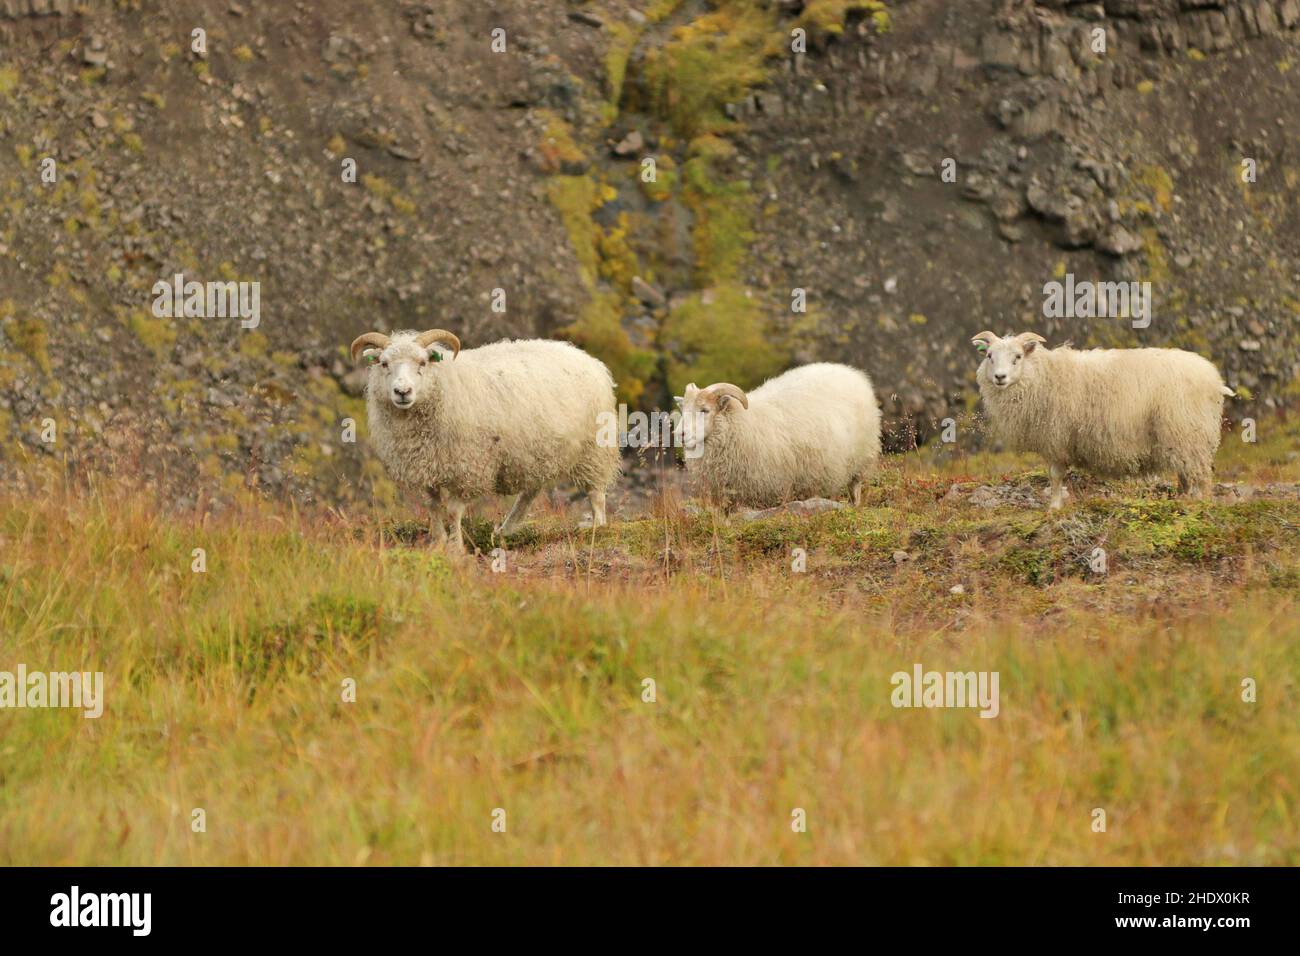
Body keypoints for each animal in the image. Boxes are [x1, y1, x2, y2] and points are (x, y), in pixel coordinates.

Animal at [350, 329, 621, 551]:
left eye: (423, 362)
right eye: (384, 363)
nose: (402, 392)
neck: (444, 386)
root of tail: (590, 360)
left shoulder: (468, 467)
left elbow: (453, 510)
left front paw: (456, 547)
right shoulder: (425, 465)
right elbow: (434, 507)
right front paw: (437, 542)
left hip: (593, 449)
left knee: (596, 492)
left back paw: (597, 525)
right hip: (535, 451)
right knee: (530, 492)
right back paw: (506, 529)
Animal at [675, 363, 882, 509]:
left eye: (705, 410)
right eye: (683, 409)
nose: (679, 434)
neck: (743, 423)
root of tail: (851, 372)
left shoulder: (774, 489)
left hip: (862, 459)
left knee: (855, 487)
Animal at [972, 330, 1234, 509]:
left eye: (1017, 357)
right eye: (989, 356)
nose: (1000, 377)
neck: (1042, 375)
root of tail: (1214, 379)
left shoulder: (1056, 437)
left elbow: (1055, 475)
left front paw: (1054, 508)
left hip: (1188, 433)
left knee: (1200, 477)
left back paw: (1199, 504)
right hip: (1182, 438)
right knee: (1186, 474)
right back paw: (1183, 500)